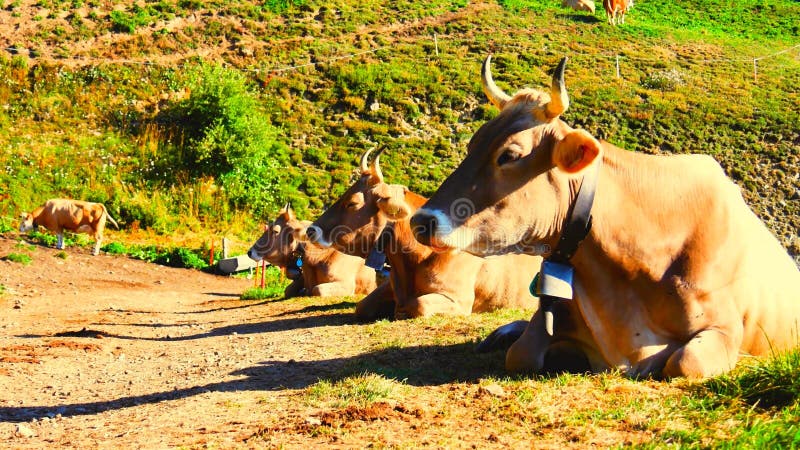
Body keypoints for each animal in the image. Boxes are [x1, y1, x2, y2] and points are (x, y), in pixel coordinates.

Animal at [409, 54, 800, 379]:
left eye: (509, 155)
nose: (420, 221)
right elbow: (521, 354)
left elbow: (685, 362)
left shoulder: (724, 327)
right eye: (473, 143)